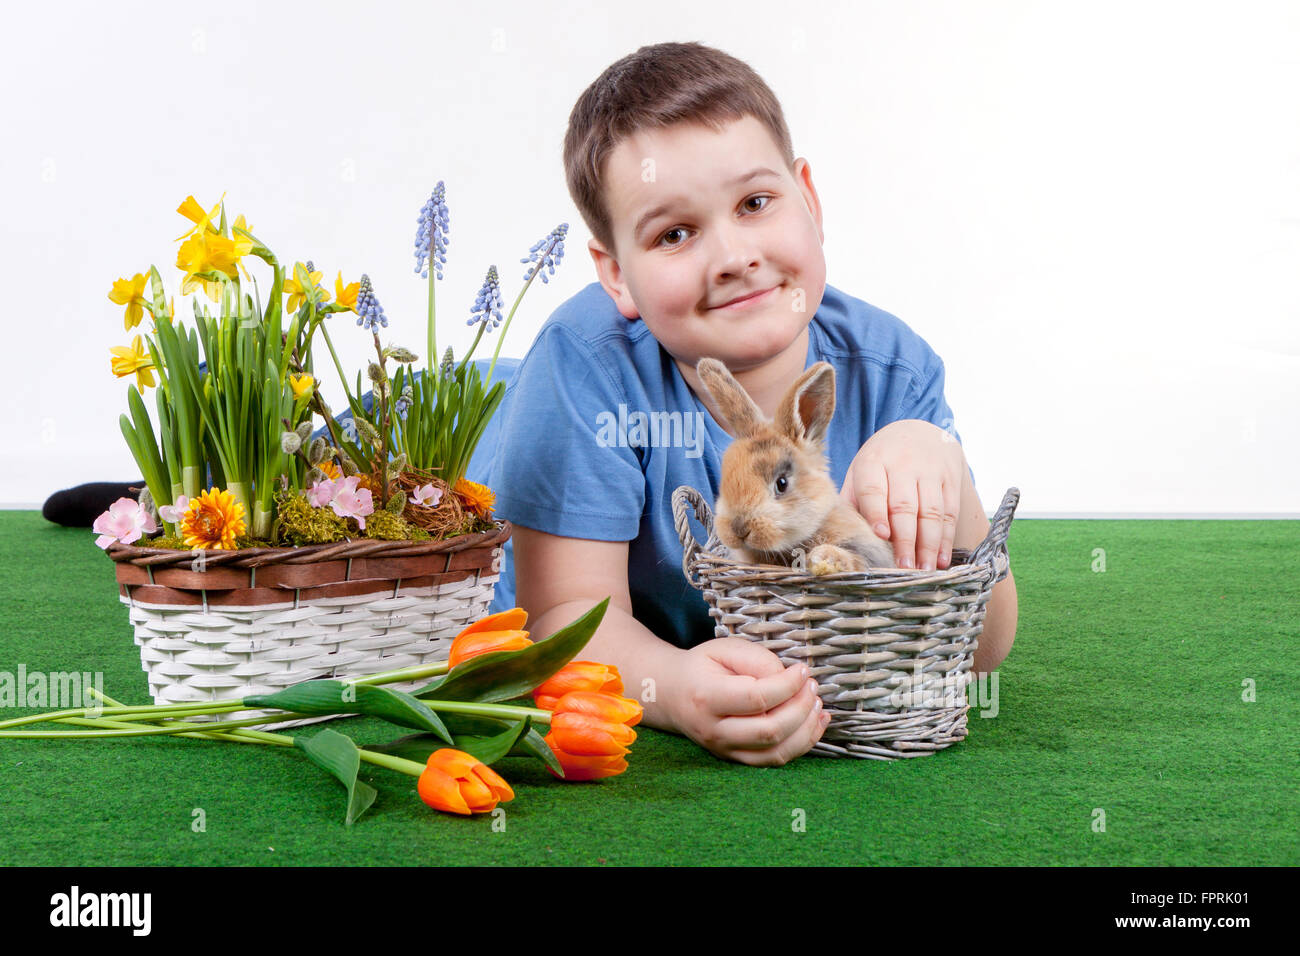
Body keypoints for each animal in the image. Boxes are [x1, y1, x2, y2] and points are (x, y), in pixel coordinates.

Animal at [696, 356, 899, 572]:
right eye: (724, 482)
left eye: (782, 484)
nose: (739, 529)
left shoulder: (872, 553)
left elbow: (855, 559)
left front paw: (823, 559)